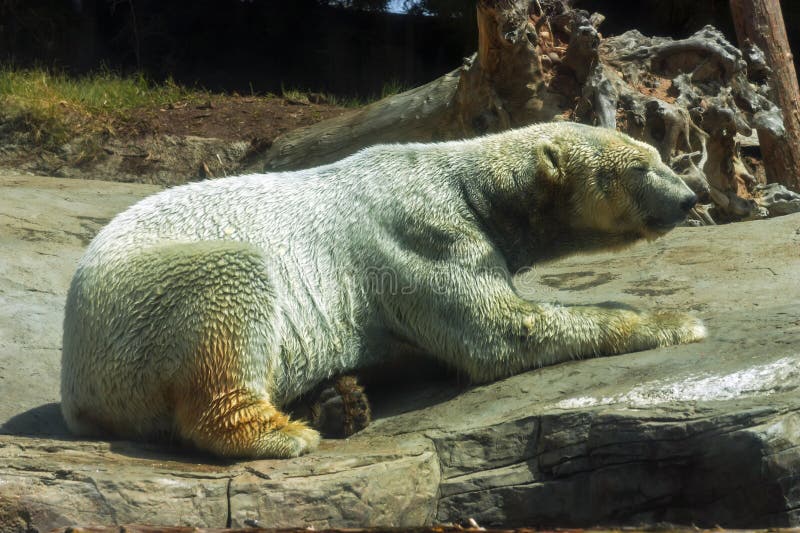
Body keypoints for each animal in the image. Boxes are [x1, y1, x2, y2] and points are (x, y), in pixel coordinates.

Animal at [60, 122, 706, 459]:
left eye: (659, 155)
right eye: (640, 168)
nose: (690, 199)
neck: (470, 184)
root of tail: (77, 389)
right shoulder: (424, 232)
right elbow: (497, 330)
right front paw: (674, 320)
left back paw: (337, 402)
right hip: (145, 300)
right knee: (231, 284)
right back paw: (284, 431)